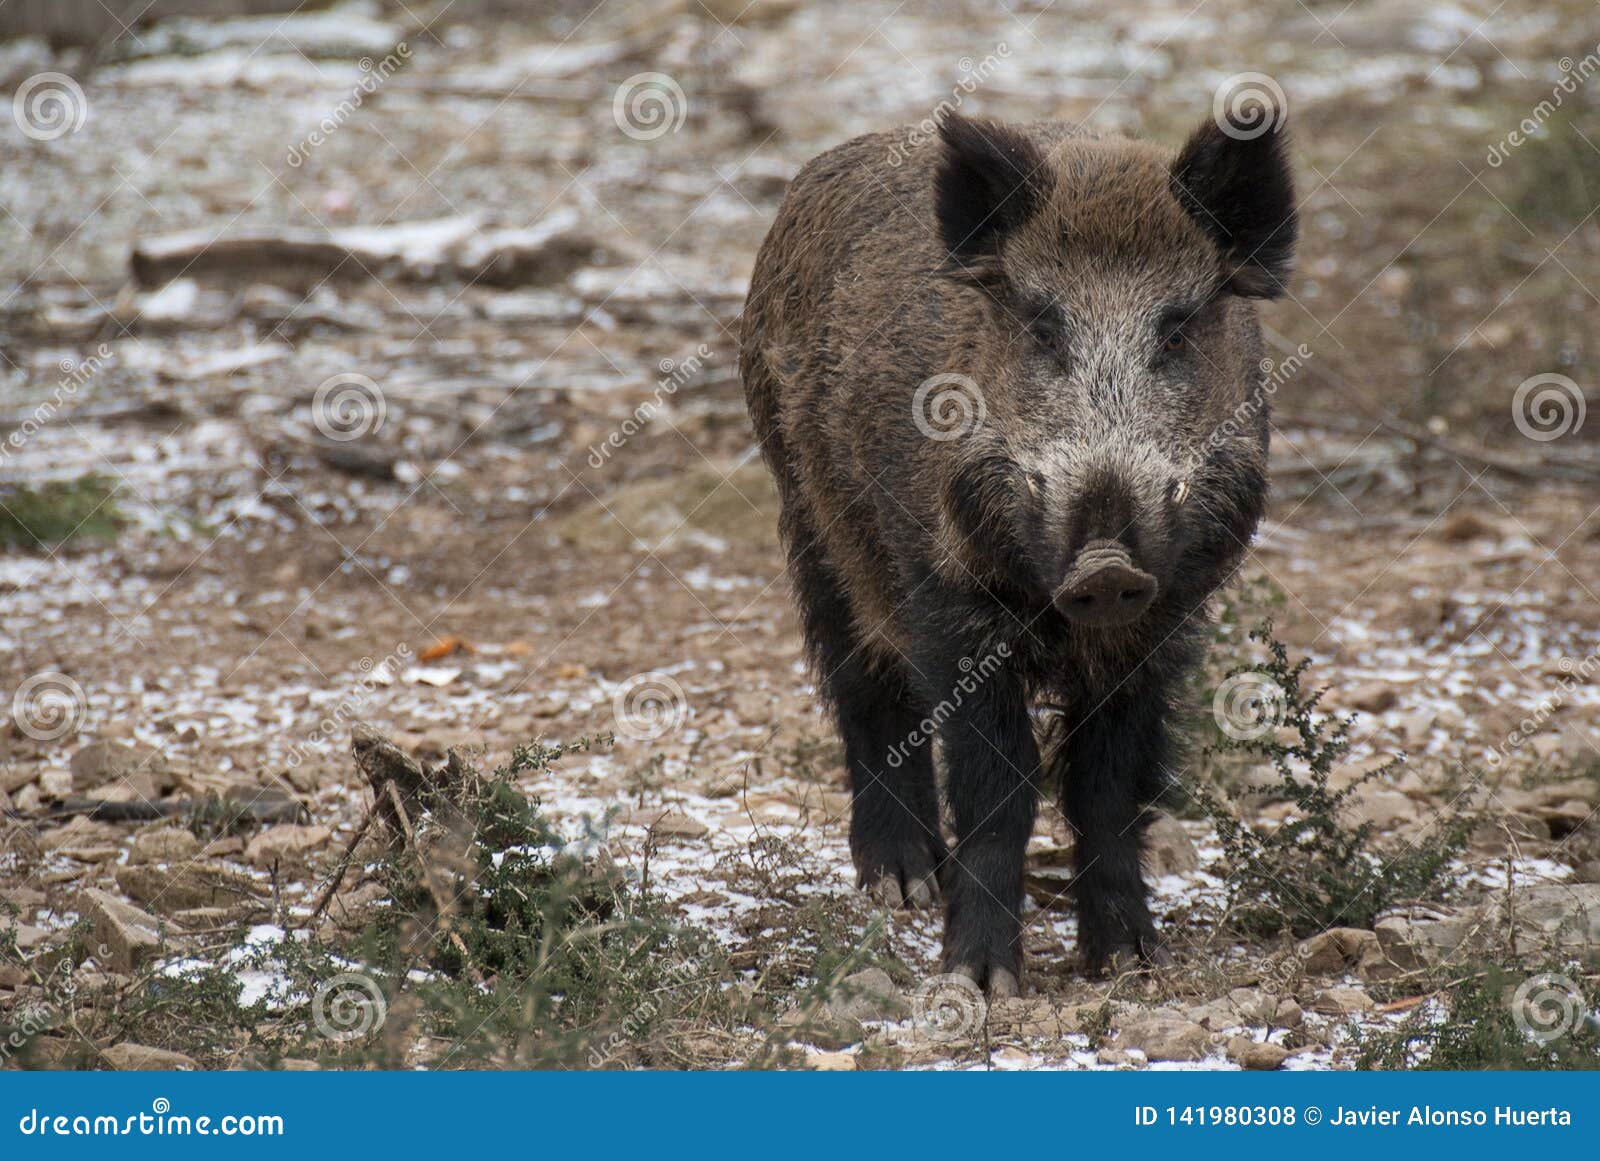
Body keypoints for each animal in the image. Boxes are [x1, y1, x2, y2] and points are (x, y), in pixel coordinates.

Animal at [738, 101, 1295, 993]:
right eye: (1042, 326)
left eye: (1177, 331)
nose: (1106, 564)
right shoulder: (951, 598)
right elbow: (999, 786)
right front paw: (982, 979)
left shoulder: (1168, 617)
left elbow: (1109, 787)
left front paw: (1130, 962)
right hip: (810, 515)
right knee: (863, 682)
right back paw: (903, 885)